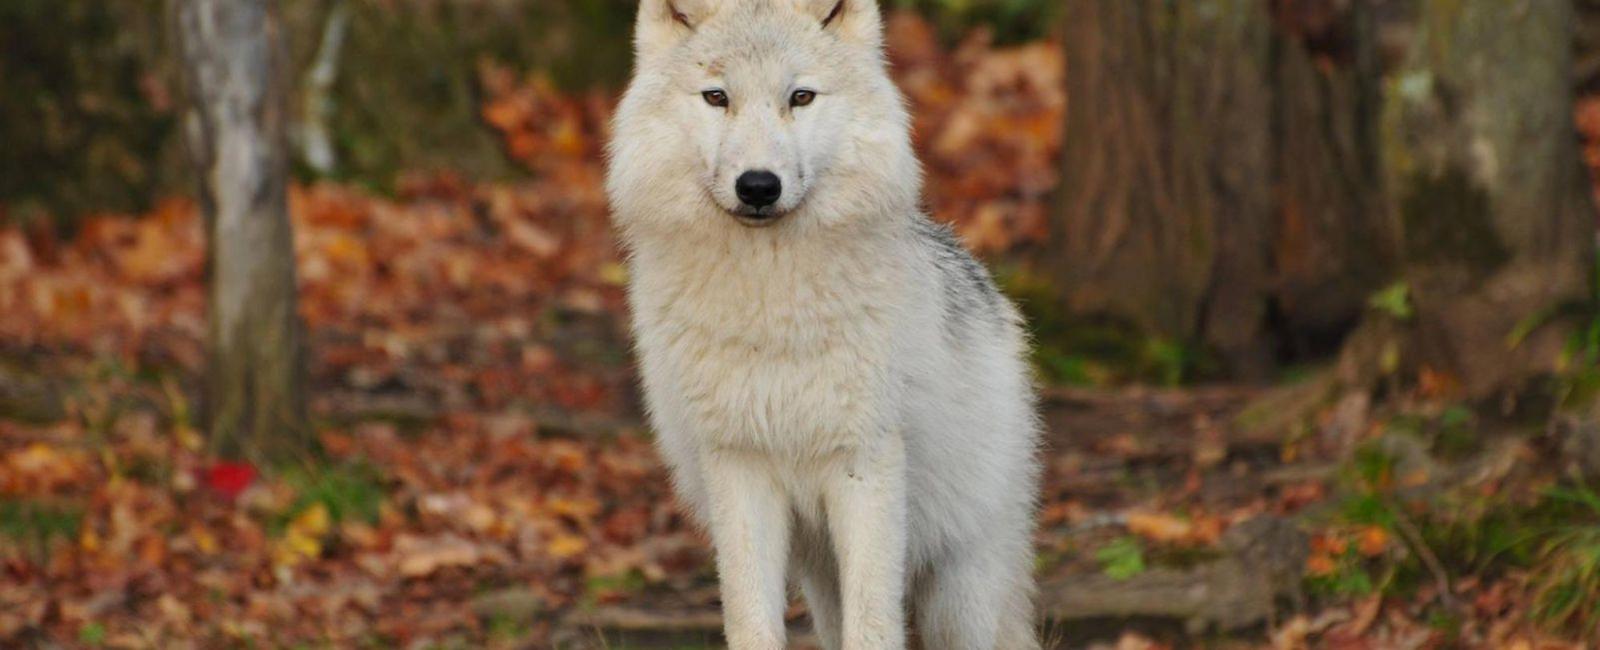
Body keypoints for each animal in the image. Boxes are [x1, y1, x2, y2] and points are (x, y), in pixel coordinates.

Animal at [605, 1, 1041, 648]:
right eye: (717, 97)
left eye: (801, 97)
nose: (758, 185)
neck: (772, 311)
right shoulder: (738, 465)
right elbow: (751, 619)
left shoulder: (864, 464)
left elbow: (875, 625)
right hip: (820, 570)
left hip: (961, 588)